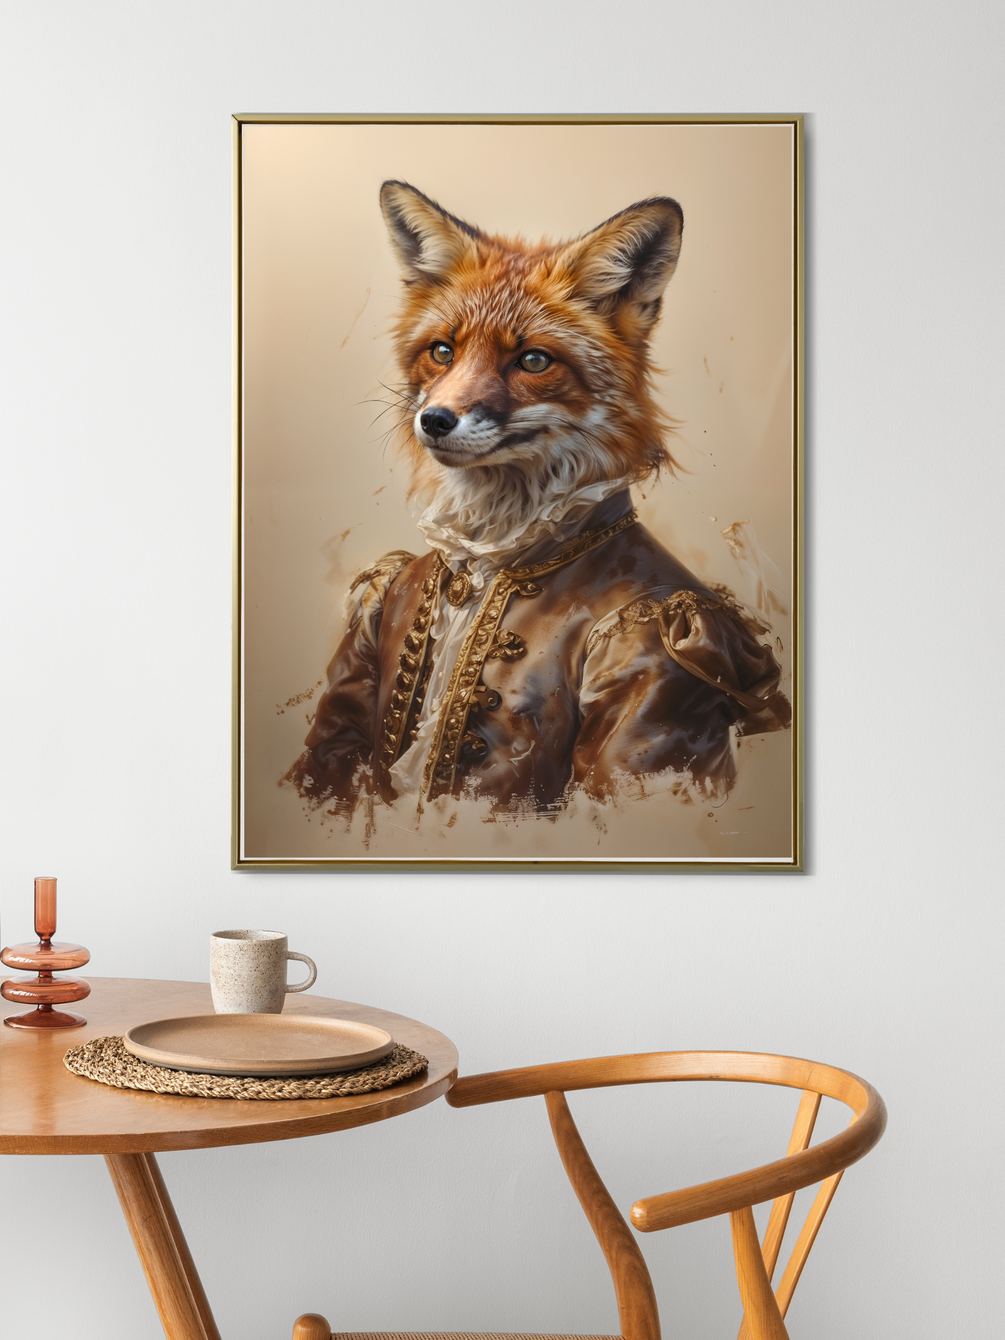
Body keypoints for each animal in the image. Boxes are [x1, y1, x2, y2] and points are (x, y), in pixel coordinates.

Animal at [287, 183, 789, 816]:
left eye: (532, 360)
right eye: (443, 352)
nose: (434, 420)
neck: (491, 558)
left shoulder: (662, 650)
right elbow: (334, 745)